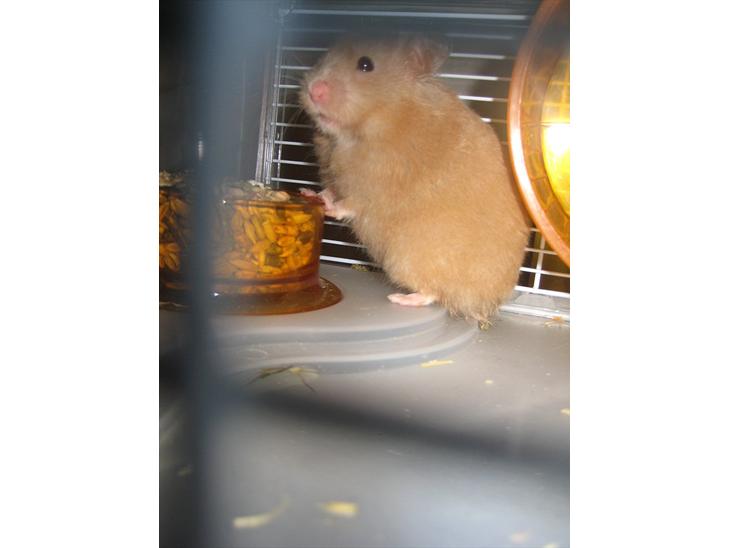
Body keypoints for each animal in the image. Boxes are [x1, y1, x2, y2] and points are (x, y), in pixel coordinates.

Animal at [299, 35, 529, 321]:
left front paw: (328, 207)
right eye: (325, 55)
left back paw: (400, 298)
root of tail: (490, 304)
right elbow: (330, 191)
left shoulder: (372, 187)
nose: (314, 90)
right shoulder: (335, 176)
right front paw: (308, 194)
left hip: (407, 258)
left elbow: (348, 205)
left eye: (365, 64)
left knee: (434, 293)